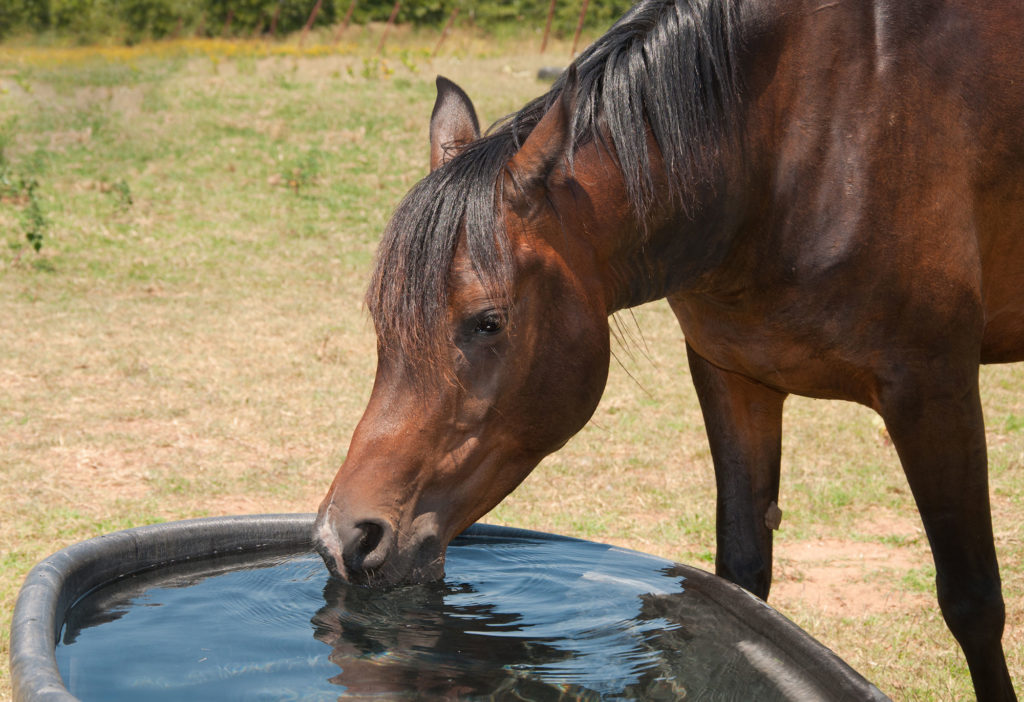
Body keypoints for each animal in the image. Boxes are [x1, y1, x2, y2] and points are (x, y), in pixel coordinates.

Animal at [313, 1, 1023, 698]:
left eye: (487, 322)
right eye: (380, 319)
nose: (342, 539)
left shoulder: (933, 388)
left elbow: (973, 602)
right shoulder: (733, 376)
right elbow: (740, 585)